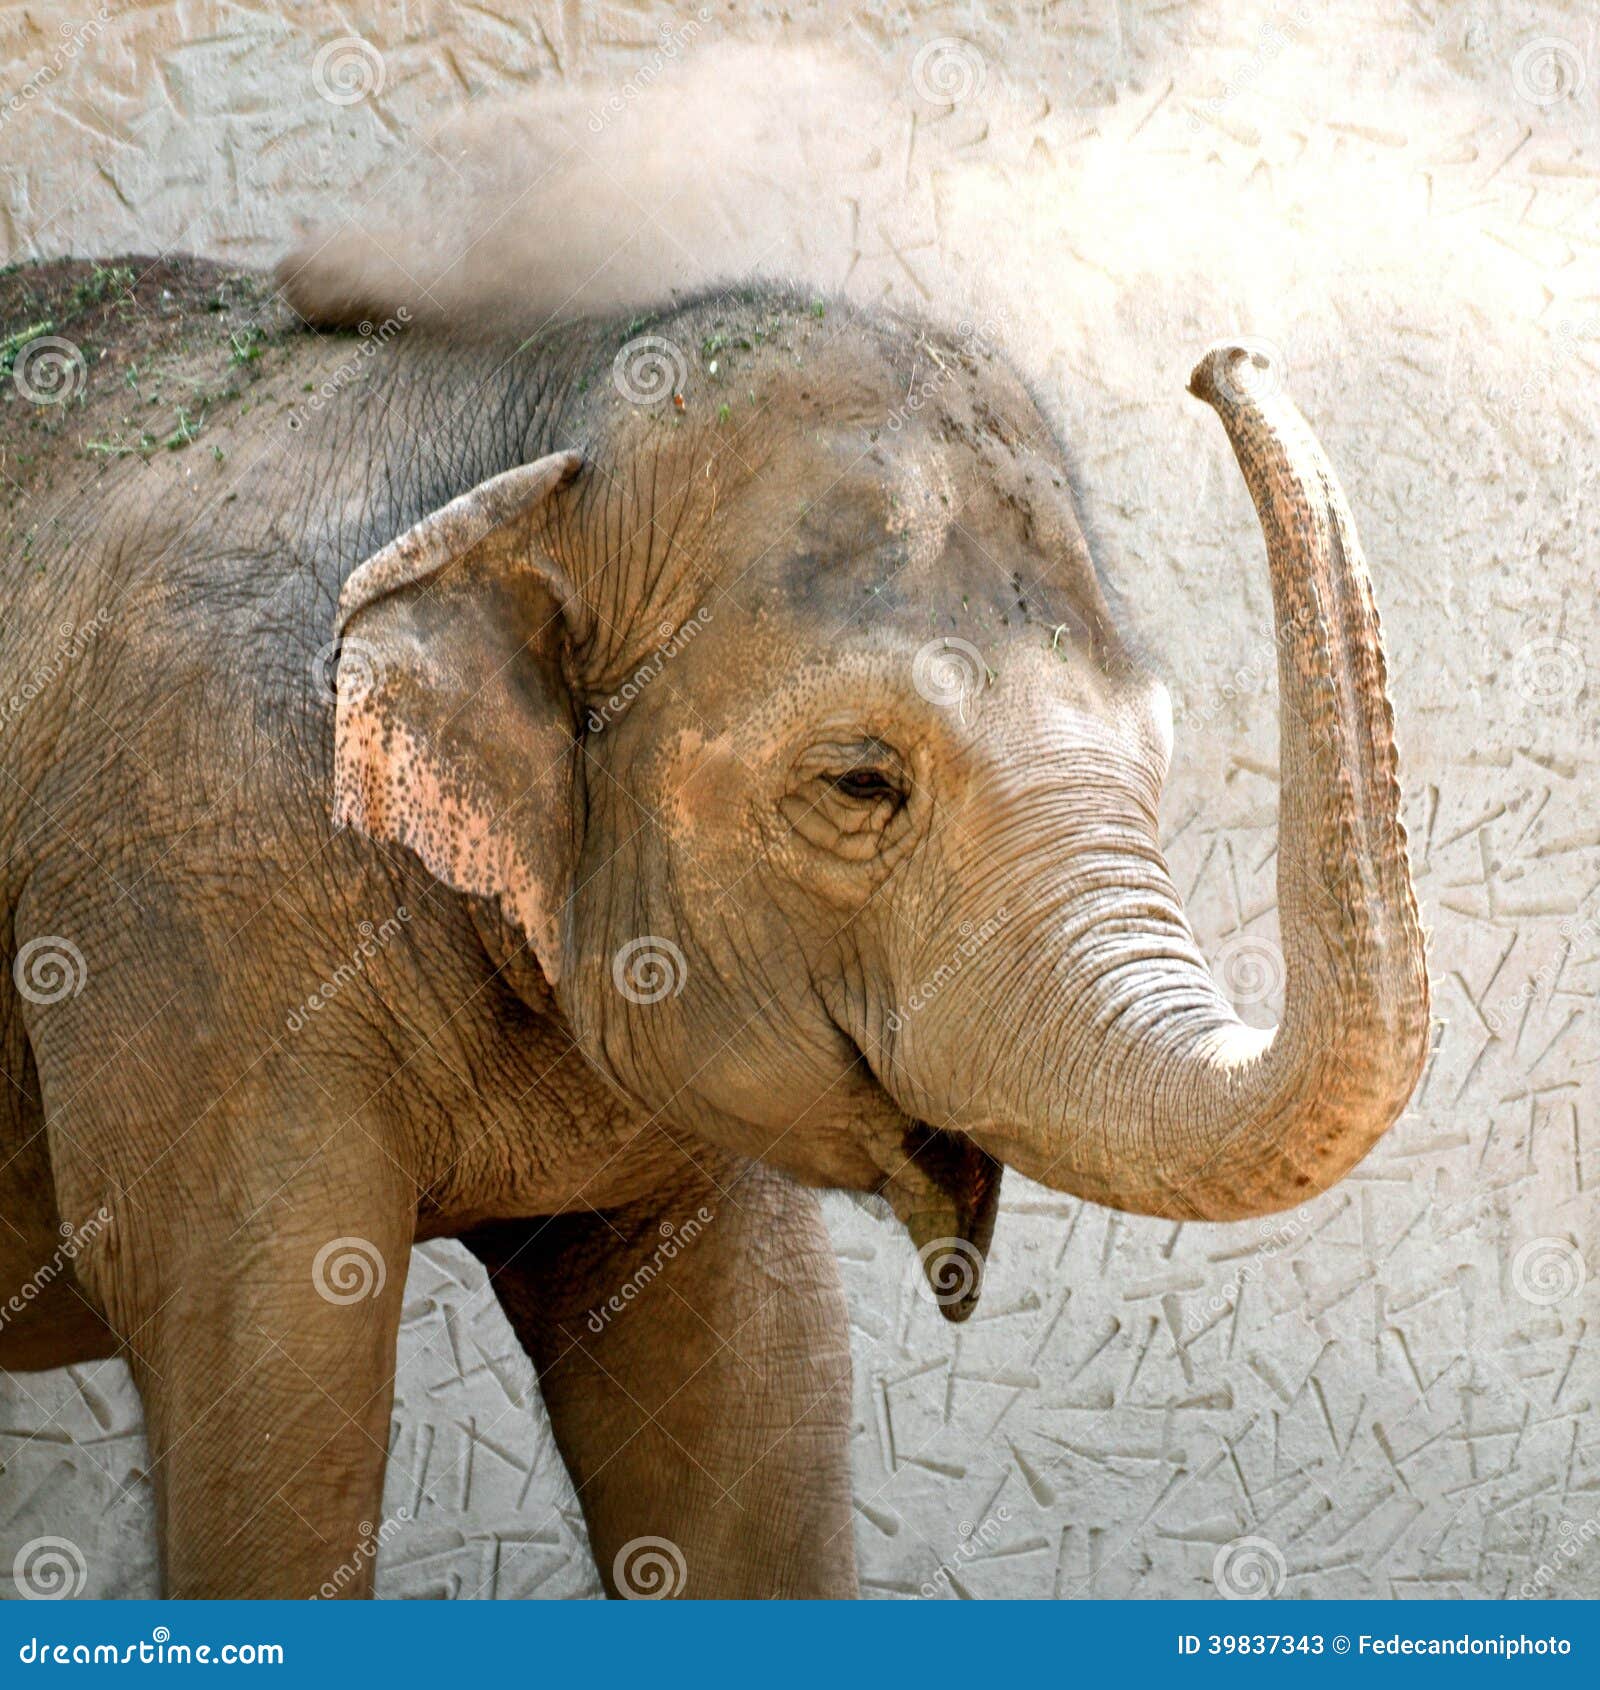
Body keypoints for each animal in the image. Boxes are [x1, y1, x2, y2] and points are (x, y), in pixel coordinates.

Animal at [0, 252, 1429, 1599]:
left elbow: (754, 1385)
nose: (1222, 356)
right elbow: (270, 1386)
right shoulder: (191, 903)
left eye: (1158, 752)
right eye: (859, 783)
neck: (530, 421)